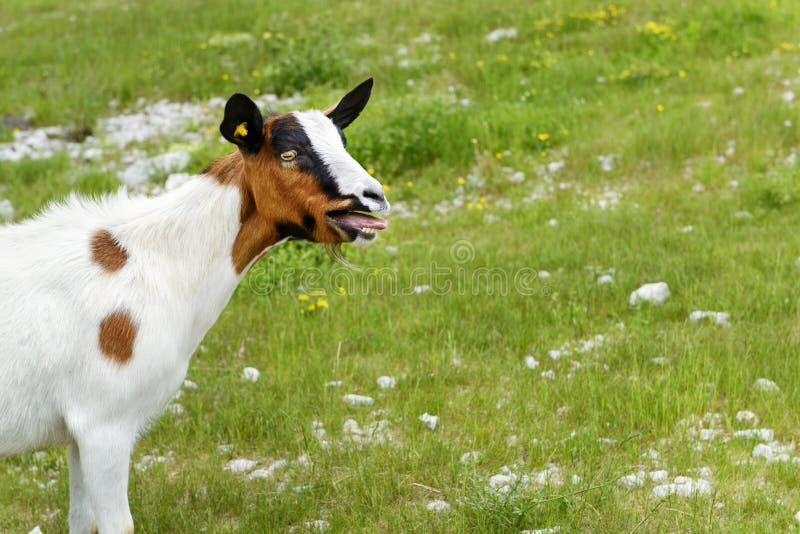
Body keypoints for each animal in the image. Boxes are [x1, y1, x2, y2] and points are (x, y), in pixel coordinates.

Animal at [0, 78, 389, 534]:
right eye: (288, 154)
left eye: (342, 141)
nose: (374, 197)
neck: (155, 261)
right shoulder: (104, 421)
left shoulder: (78, 430)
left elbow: (81, 521)